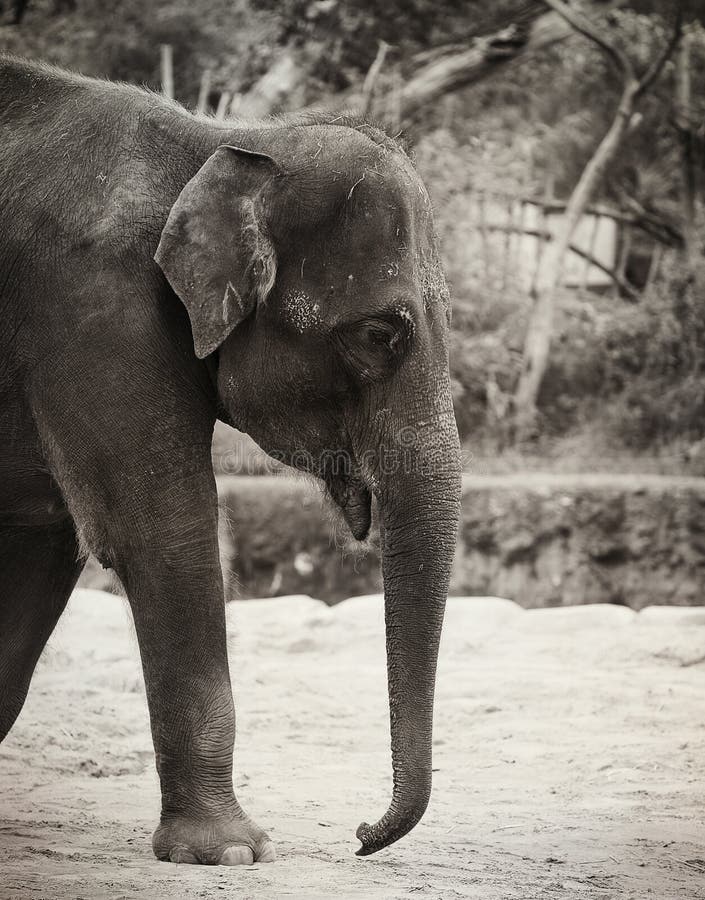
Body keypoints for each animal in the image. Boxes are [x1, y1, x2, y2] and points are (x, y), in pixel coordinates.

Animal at [0, 54, 461, 865]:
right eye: (380, 333)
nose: (360, 834)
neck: (222, 145)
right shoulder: (91, 311)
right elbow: (159, 535)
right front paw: (229, 852)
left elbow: (44, 541)